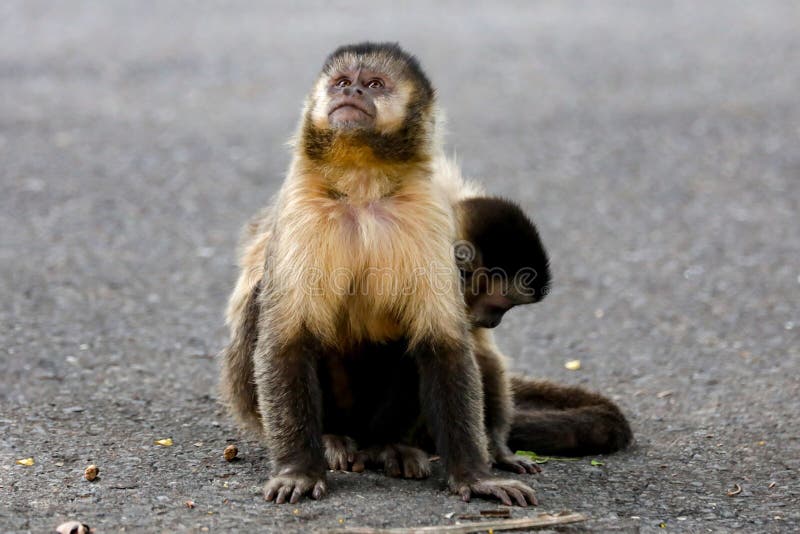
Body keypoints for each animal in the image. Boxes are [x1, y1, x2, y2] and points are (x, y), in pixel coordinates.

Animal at [226, 42, 537, 506]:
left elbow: (444, 343)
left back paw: (388, 444)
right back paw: (333, 438)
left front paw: (475, 476)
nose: (350, 91)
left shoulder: (429, 210)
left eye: (374, 84)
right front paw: (298, 470)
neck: (362, 185)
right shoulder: (303, 206)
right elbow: (286, 339)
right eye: (342, 82)